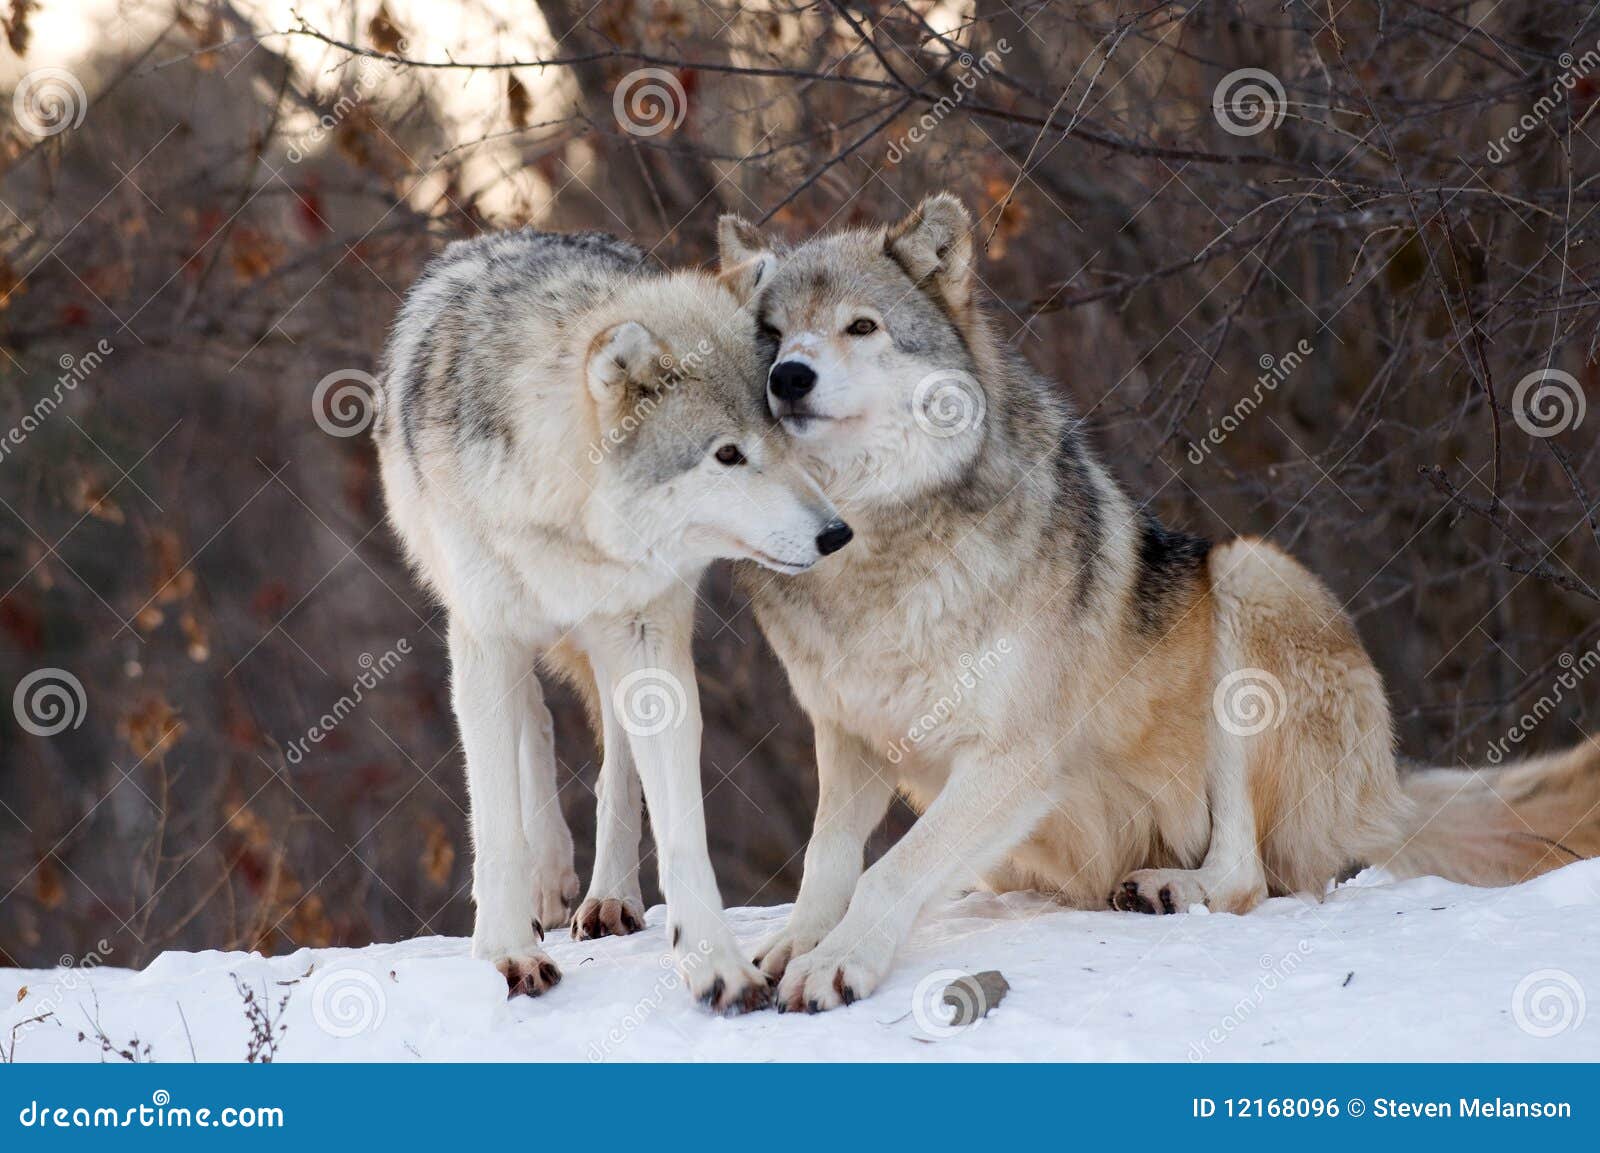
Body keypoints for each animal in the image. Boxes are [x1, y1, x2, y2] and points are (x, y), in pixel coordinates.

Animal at [375, 229, 850, 1011]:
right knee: (534, 726)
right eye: (727, 454)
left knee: (616, 762)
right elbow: (495, 817)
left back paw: (608, 896)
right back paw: (548, 882)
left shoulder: (648, 633)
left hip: (623, 643)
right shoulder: (484, 636)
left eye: (781, 433)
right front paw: (506, 951)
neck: (565, 507)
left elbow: (682, 826)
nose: (836, 535)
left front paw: (715, 962)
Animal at [709, 193, 1600, 1012]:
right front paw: (789, 946)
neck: (874, 549)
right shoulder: (850, 738)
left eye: (861, 327)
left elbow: (892, 870)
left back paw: (1176, 887)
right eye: (773, 336)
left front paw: (835, 963)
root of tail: (1388, 780)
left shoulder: (1012, 759)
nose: (788, 377)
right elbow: (827, 860)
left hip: (1250, 584)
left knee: (1247, 877)